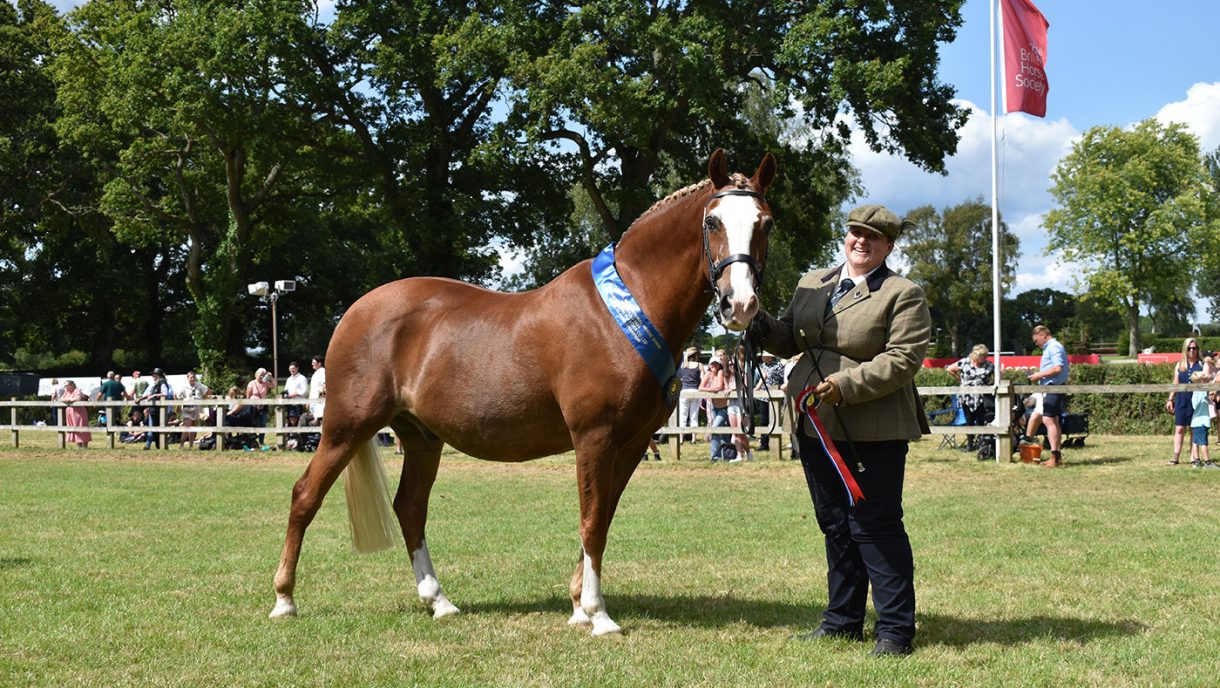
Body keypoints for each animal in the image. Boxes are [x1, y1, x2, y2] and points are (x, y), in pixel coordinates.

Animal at [270, 149, 776, 635]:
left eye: (765, 223)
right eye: (712, 222)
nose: (740, 304)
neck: (625, 310)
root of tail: (356, 311)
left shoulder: (631, 443)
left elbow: (603, 518)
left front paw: (578, 607)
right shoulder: (593, 437)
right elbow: (592, 520)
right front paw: (598, 615)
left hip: (421, 437)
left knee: (409, 507)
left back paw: (439, 602)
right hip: (346, 427)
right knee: (304, 497)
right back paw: (284, 600)